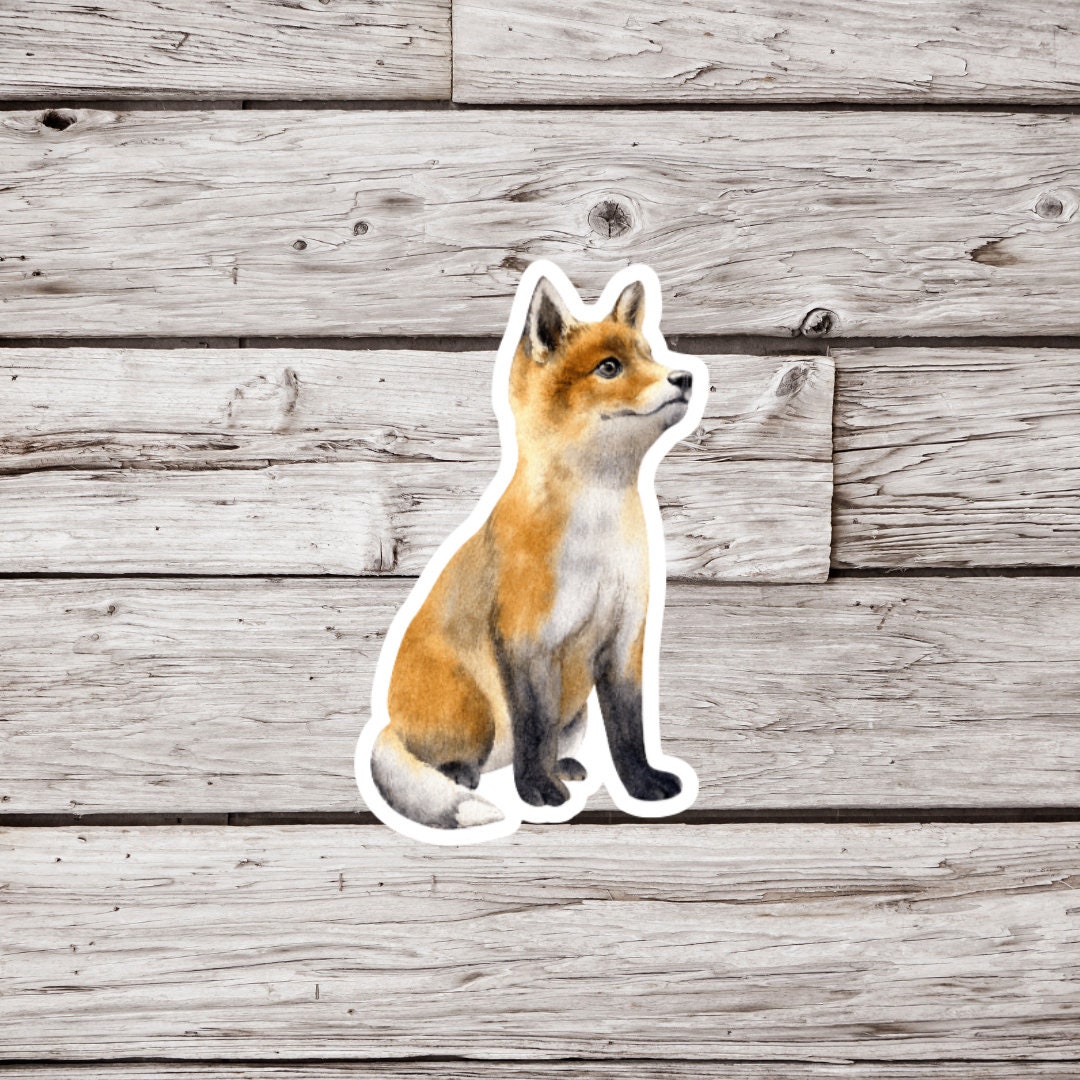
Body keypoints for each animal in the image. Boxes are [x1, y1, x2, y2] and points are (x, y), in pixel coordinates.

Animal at [357, 263, 704, 841]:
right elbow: (533, 728)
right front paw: (538, 792)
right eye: (609, 367)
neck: (596, 541)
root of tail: (389, 720)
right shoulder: (525, 642)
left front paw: (641, 786)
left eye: (651, 355)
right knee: (453, 758)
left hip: (576, 714)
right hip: (476, 709)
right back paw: (468, 776)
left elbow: (628, 730)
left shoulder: (625, 641)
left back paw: (564, 766)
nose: (685, 378)